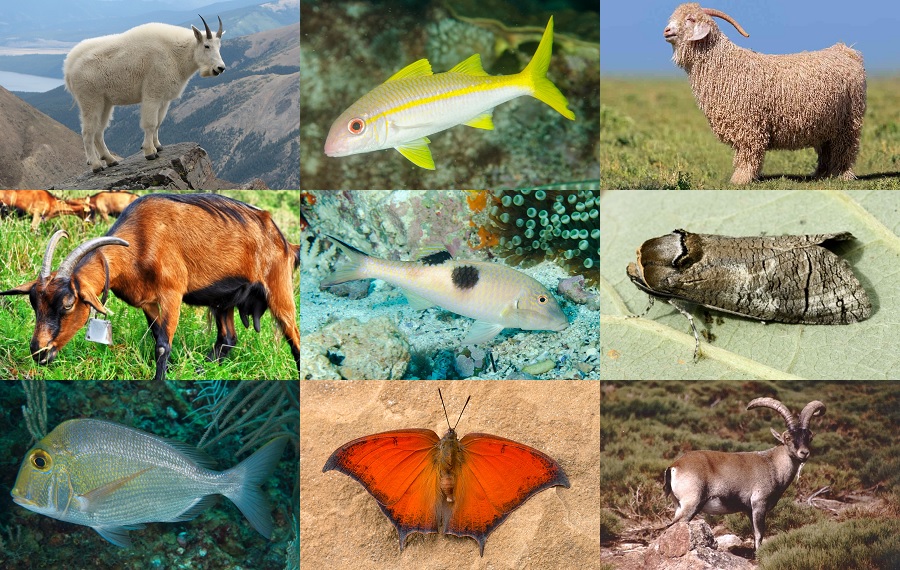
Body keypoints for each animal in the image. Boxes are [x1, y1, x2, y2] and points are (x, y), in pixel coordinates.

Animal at [0, 193, 300, 380]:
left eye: (68, 304)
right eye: (34, 303)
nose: (39, 353)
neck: (140, 240)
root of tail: (285, 242)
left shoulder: (172, 293)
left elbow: (163, 346)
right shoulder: (148, 302)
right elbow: (158, 338)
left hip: (279, 290)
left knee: (293, 336)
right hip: (223, 301)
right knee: (227, 338)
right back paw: (202, 370)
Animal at [64, 16, 225, 172]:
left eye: (219, 46)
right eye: (206, 46)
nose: (220, 68)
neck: (176, 53)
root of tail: (68, 67)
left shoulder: (164, 99)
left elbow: (158, 122)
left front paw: (158, 146)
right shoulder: (152, 93)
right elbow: (150, 123)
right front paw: (149, 152)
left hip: (105, 103)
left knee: (98, 132)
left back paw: (111, 160)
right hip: (90, 99)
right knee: (88, 132)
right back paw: (96, 165)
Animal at [664, 398, 826, 549]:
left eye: (809, 438)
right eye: (788, 438)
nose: (804, 453)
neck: (772, 464)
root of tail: (675, 466)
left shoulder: (749, 510)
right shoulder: (759, 504)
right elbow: (759, 535)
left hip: (678, 505)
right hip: (691, 505)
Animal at [665, 4, 866, 184]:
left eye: (691, 19)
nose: (666, 31)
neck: (726, 65)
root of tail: (847, 51)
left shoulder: (749, 125)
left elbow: (748, 153)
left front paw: (740, 179)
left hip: (849, 120)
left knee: (846, 148)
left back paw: (843, 175)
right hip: (827, 123)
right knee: (826, 149)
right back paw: (822, 175)